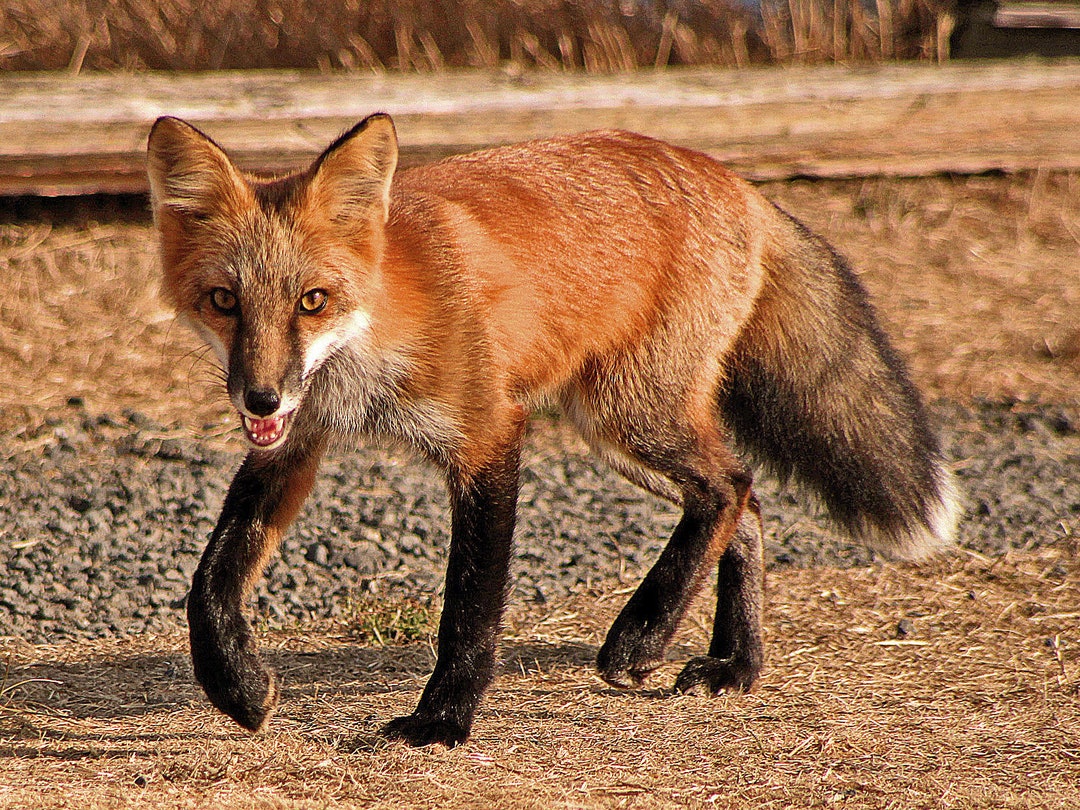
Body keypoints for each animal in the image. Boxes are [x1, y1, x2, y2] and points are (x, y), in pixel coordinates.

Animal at [146, 113, 959, 748]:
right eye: (224, 300)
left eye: (312, 300)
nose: (259, 398)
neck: (379, 331)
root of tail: (736, 180)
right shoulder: (294, 443)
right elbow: (210, 578)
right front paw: (236, 687)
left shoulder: (488, 436)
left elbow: (470, 605)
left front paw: (442, 721)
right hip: (622, 430)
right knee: (747, 507)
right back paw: (736, 664)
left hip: (628, 417)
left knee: (731, 486)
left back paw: (642, 635)